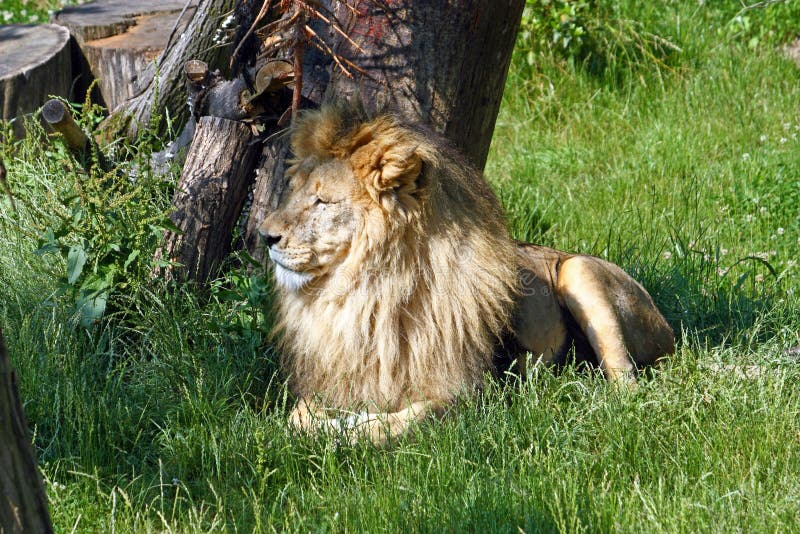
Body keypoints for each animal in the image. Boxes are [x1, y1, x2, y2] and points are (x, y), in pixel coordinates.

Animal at [258, 105, 675, 443]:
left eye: (322, 201)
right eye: (294, 193)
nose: (265, 235)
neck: (365, 295)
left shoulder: (465, 395)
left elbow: (398, 425)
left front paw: (346, 429)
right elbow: (296, 419)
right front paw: (319, 426)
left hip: (580, 270)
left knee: (627, 385)